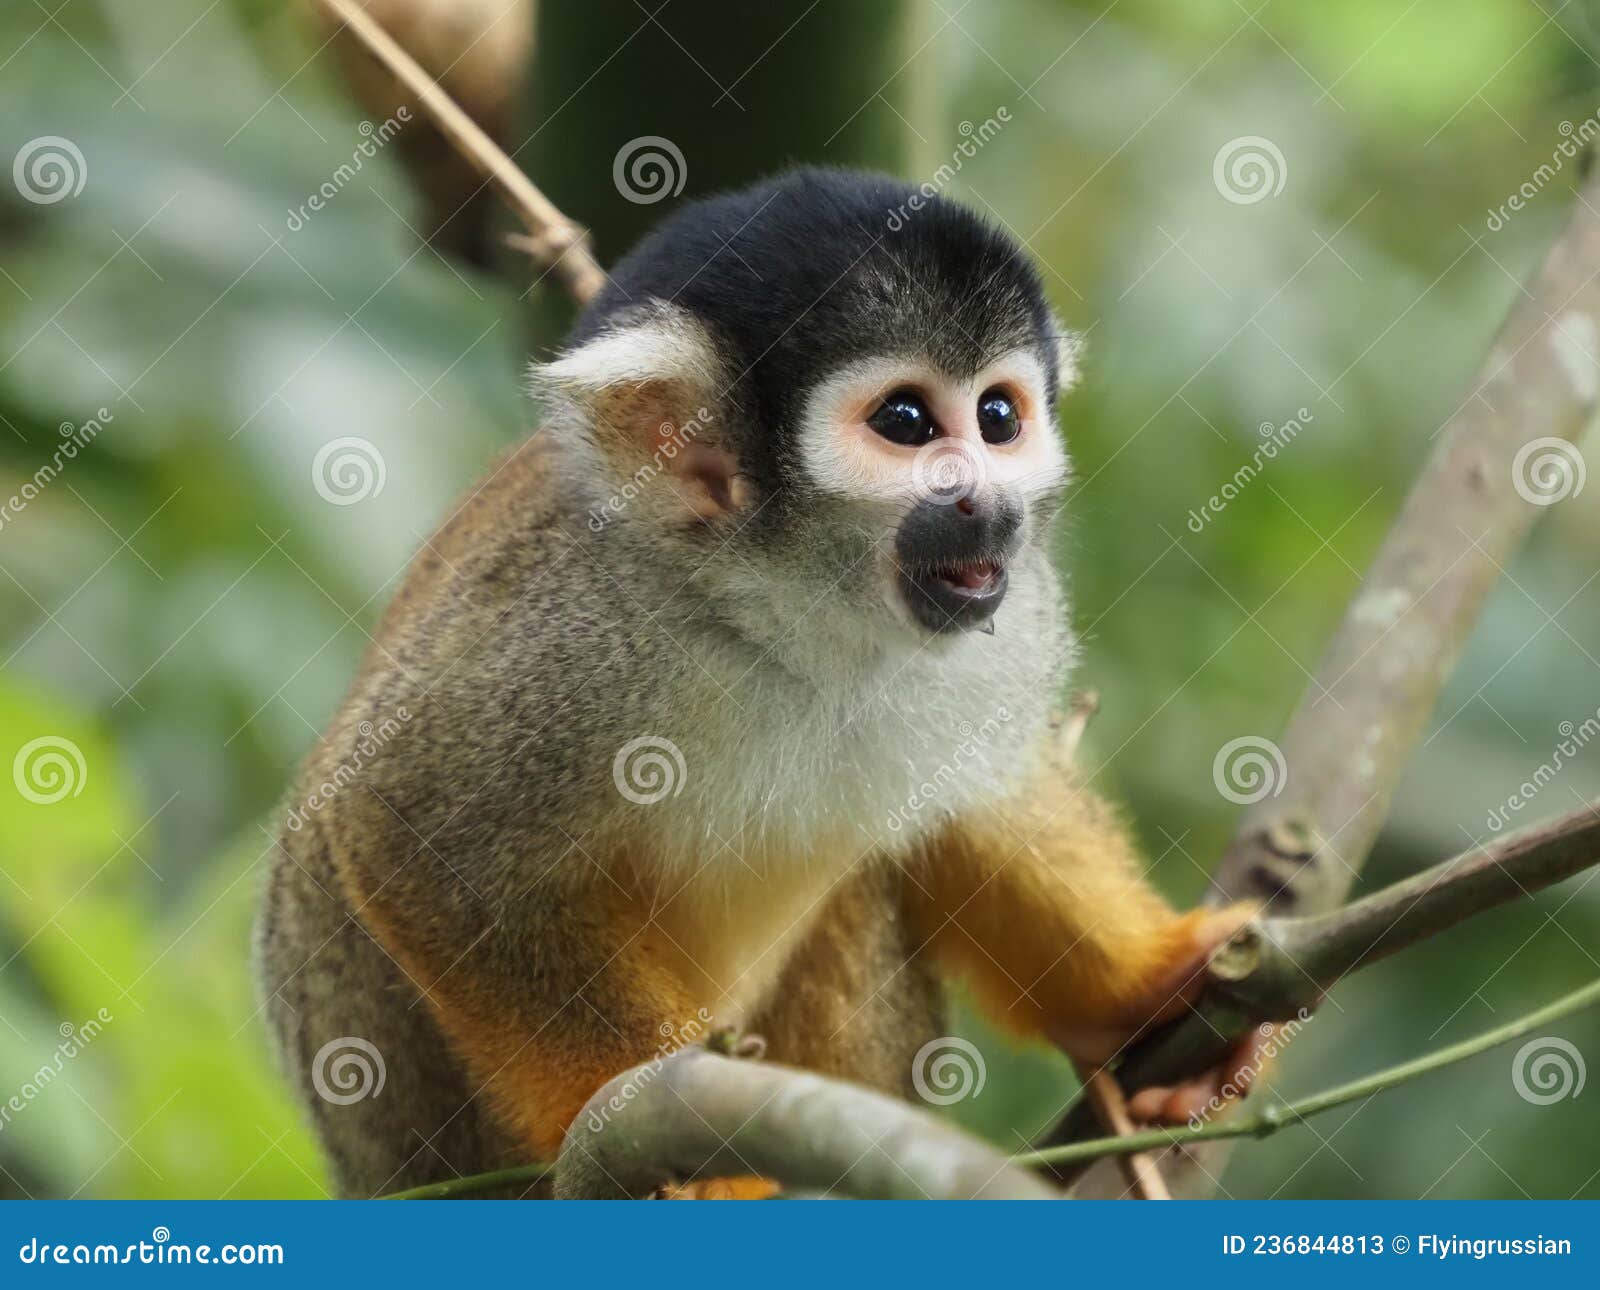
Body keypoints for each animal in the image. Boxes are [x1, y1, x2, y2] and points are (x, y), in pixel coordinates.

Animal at [254, 167, 1264, 1199]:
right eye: (907, 424)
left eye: (998, 419)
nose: (990, 504)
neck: (794, 612)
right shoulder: (575, 632)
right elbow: (405, 831)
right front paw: (670, 1145)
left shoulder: (1011, 616)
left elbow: (986, 806)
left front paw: (1144, 986)